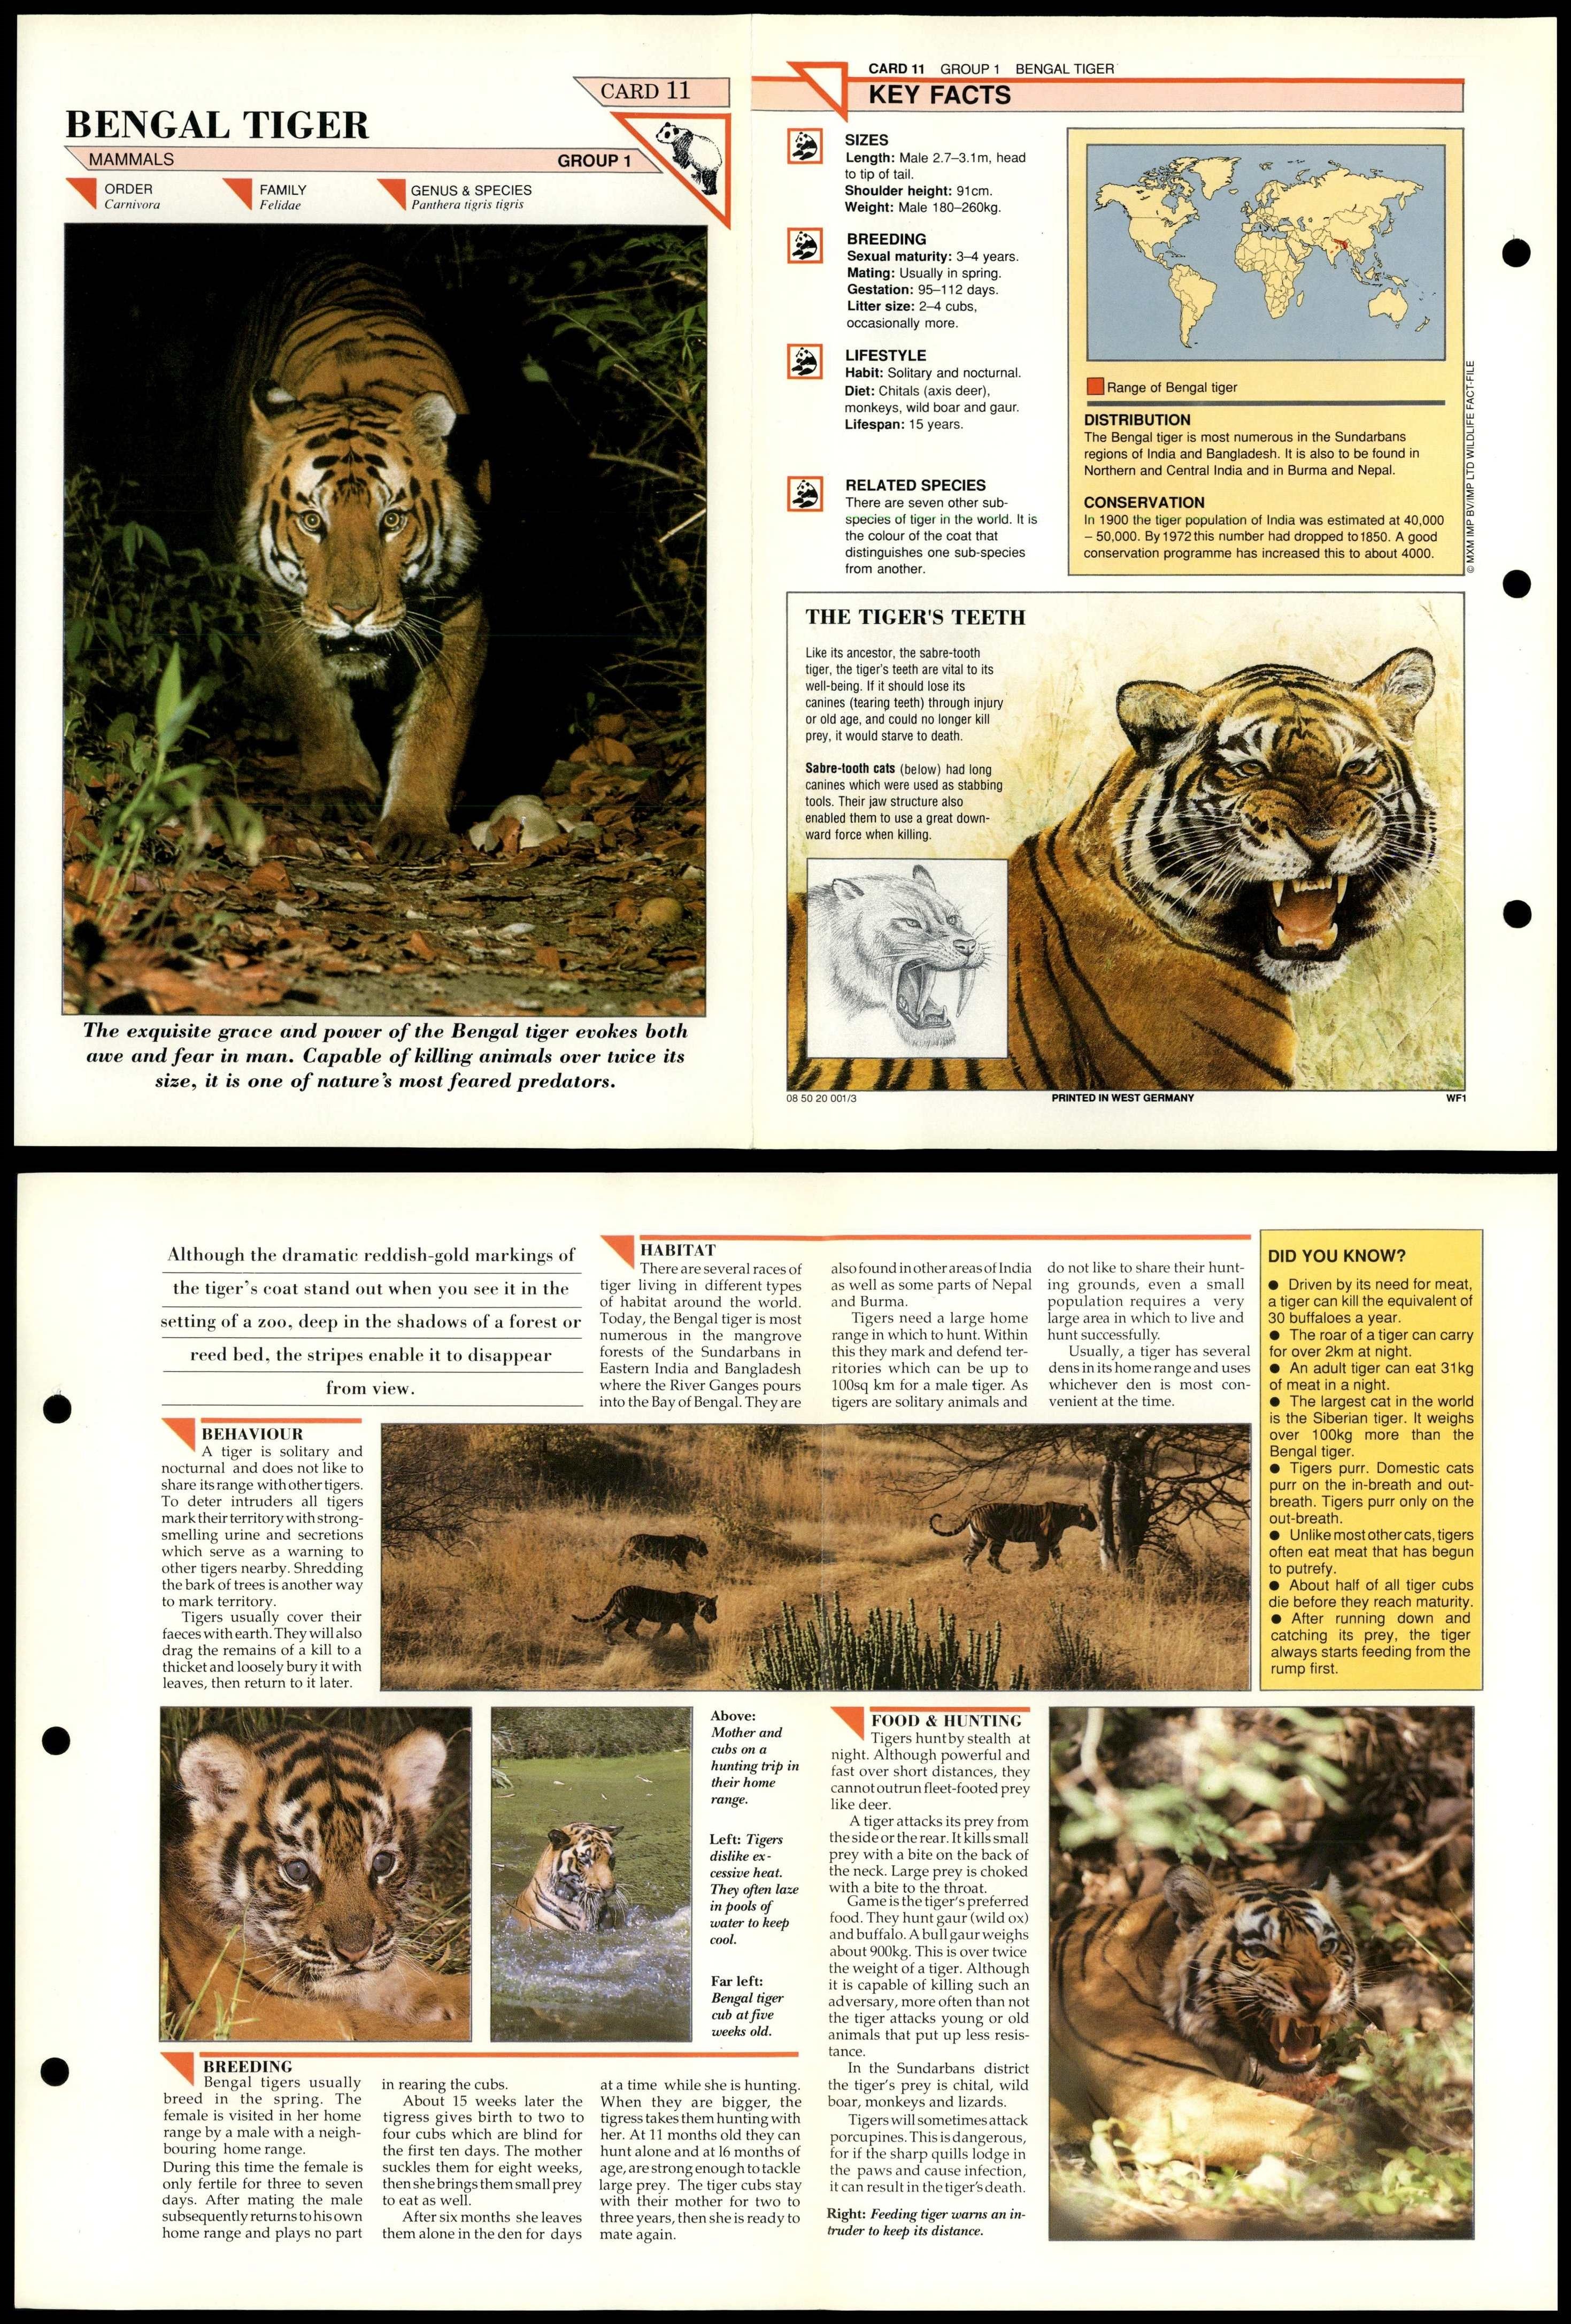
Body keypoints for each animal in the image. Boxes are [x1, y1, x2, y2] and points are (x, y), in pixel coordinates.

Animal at [221, 255, 490, 861]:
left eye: (391, 521)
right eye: (311, 522)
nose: (351, 614)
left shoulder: (465, 602)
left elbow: (439, 723)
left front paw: (414, 824)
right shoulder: (281, 601)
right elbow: (315, 698)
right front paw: (339, 787)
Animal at [573, 1585, 719, 1642]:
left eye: (715, 1610)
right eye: (711, 1610)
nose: (716, 1618)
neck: (695, 1605)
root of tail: (620, 1589)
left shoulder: (684, 1624)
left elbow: (694, 1634)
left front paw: (697, 1645)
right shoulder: (670, 1623)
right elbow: (661, 1633)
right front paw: (654, 1641)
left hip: (628, 1615)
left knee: (618, 1627)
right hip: (627, 1614)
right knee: (618, 1627)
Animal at [619, 1531, 710, 1570]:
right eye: (703, 1546)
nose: (707, 1552)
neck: (689, 1543)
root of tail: (630, 1538)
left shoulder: (668, 1560)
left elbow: (669, 1567)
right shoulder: (679, 1559)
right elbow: (683, 1568)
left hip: (639, 1557)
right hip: (634, 1555)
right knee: (623, 1560)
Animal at [931, 1500, 1099, 1572]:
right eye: (1091, 1517)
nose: (1097, 1525)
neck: (1069, 1518)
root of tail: (974, 1511)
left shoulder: (1054, 1542)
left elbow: (1058, 1557)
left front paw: (1063, 1569)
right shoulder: (1043, 1539)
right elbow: (1044, 1558)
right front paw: (1032, 1569)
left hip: (977, 1540)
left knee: (967, 1558)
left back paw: (970, 1576)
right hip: (998, 1539)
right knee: (991, 1558)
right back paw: (1007, 1571)